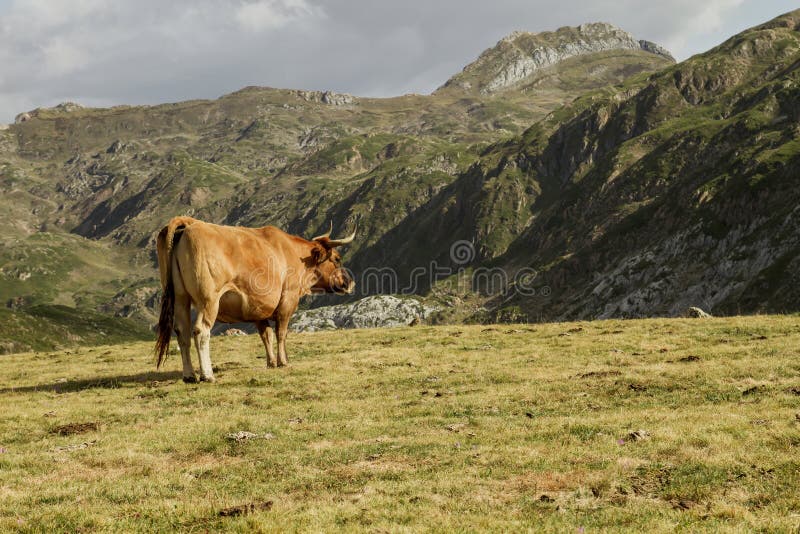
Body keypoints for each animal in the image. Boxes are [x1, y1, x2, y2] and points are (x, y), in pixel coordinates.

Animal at [154, 216, 356, 383]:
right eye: (337, 258)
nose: (350, 282)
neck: (295, 253)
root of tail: (189, 223)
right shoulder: (287, 300)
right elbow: (281, 333)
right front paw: (283, 361)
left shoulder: (258, 307)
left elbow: (266, 335)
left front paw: (271, 362)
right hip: (208, 299)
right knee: (200, 331)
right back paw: (207, 375)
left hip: (180, 298)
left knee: (182, 332)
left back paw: (189, 375)